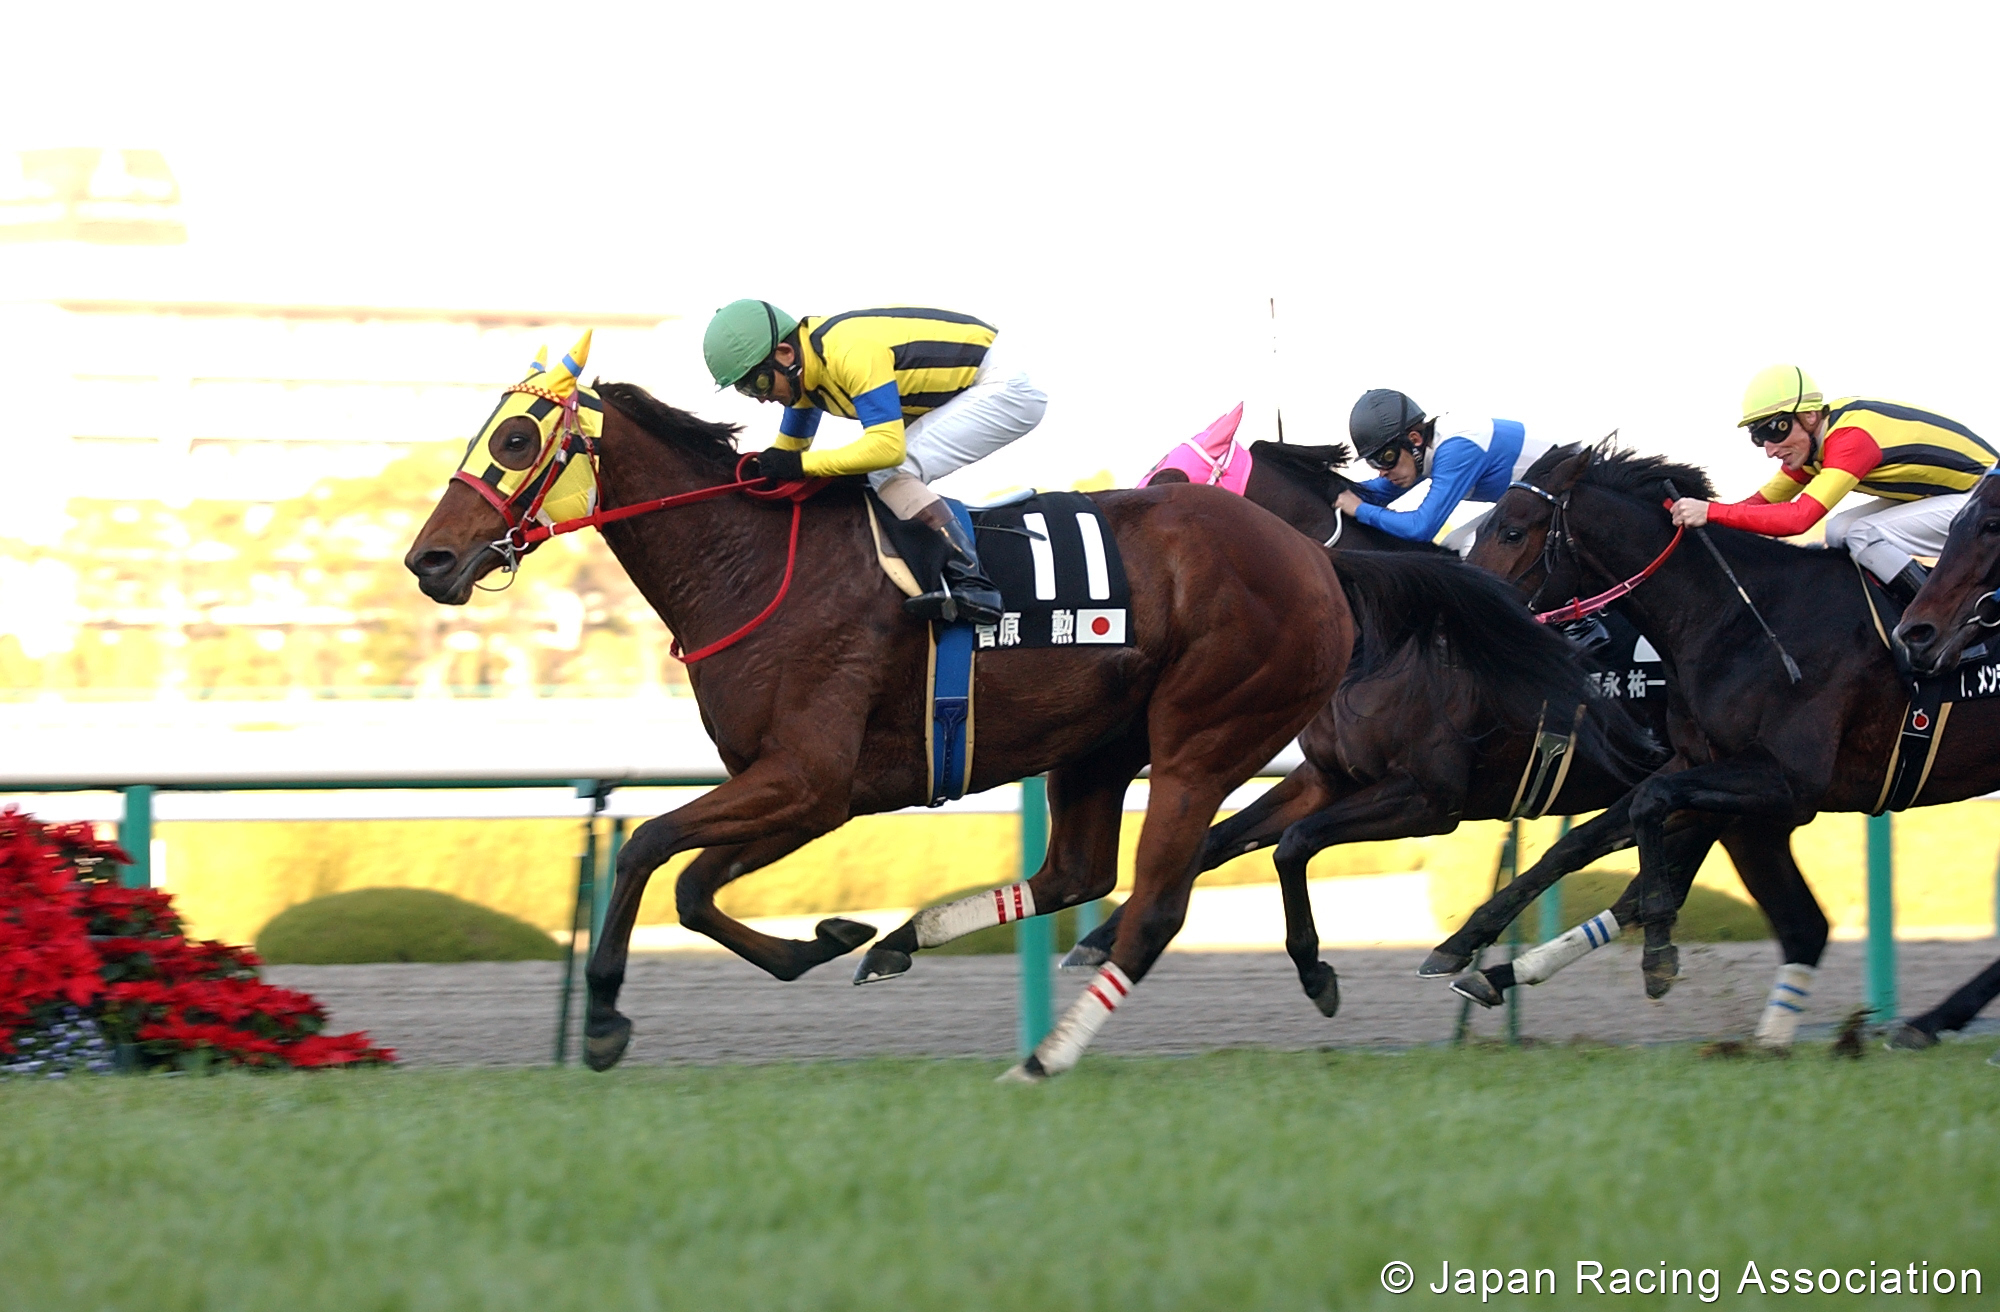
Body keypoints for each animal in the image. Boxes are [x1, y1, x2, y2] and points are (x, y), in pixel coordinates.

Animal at [406, 338, 1366, 1081]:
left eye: (518, 438)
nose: (430, 560)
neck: (755, 566)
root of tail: (1312, 559)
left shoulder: (806, 776)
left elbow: (646, 847)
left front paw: (604, 1016)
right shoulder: (812, 791)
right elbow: (691, 887)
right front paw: (826, 939)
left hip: (1203, 736)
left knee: (1160, 903)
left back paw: (1043, 1058)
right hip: (1096, 744)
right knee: (1078, 875)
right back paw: (906, 940)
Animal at [1467, 441, 2000, 1017]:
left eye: (1510, 531)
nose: (1467, 598)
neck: (1740, 619)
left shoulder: (1790, 780)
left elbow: (1648, 805)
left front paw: (1658, 953)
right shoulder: (1702, 763)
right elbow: (1582, 840)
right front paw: (1466, 947)